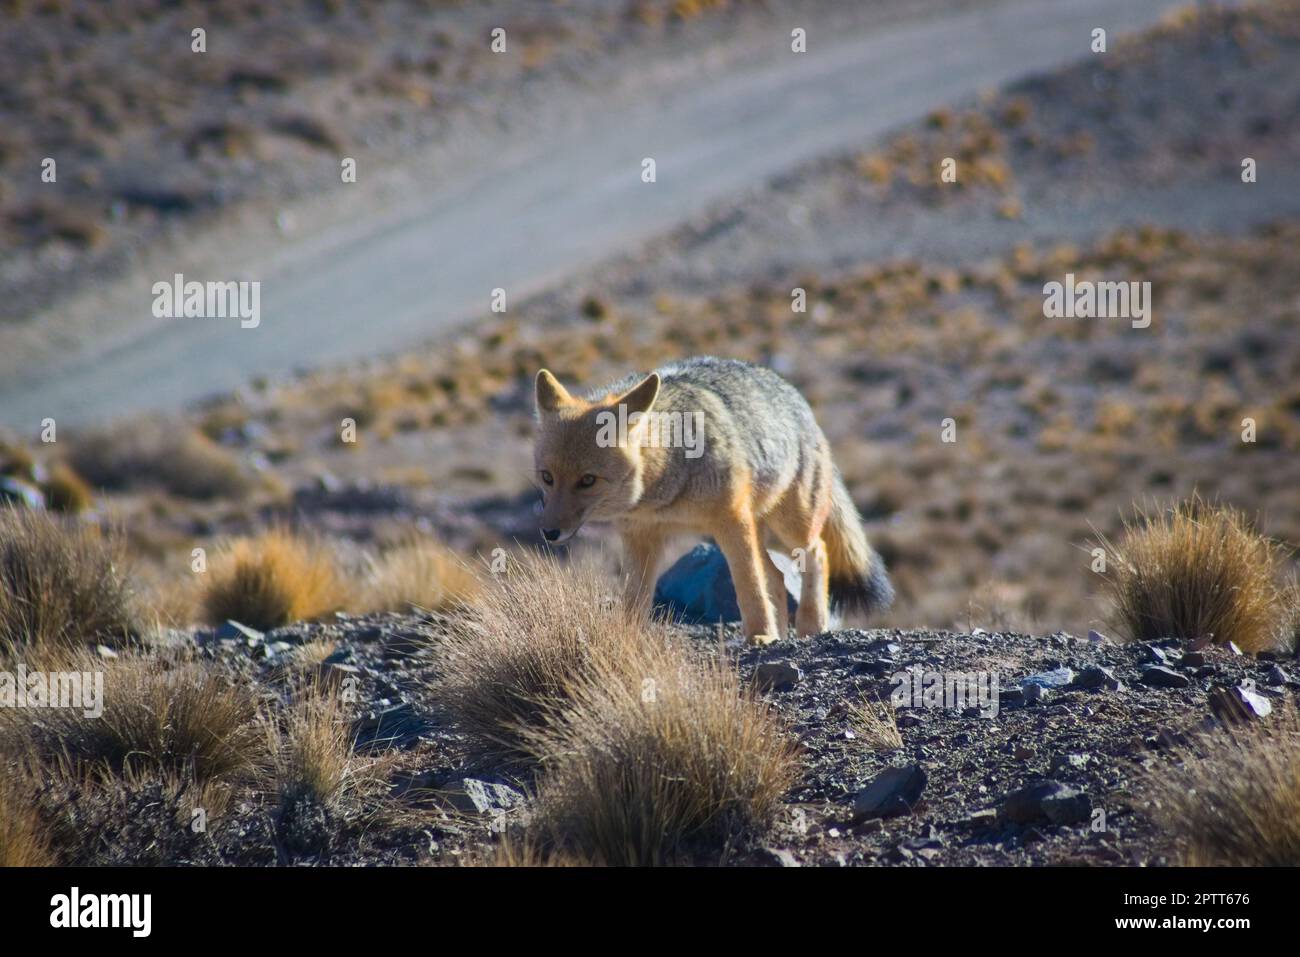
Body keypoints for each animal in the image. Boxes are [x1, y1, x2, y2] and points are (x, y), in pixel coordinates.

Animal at [532, 356, 893, 645]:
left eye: (587, 481)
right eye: (547, 477)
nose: (549, 532)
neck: (664, 489)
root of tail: (795, 397)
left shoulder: (730, 521)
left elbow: (748, 585)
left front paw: (761, 636)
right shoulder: (640, 537)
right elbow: (634, 599)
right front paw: (625, 637)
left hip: (790, 528)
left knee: (818, 552)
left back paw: (810, 625)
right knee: (776, 577)